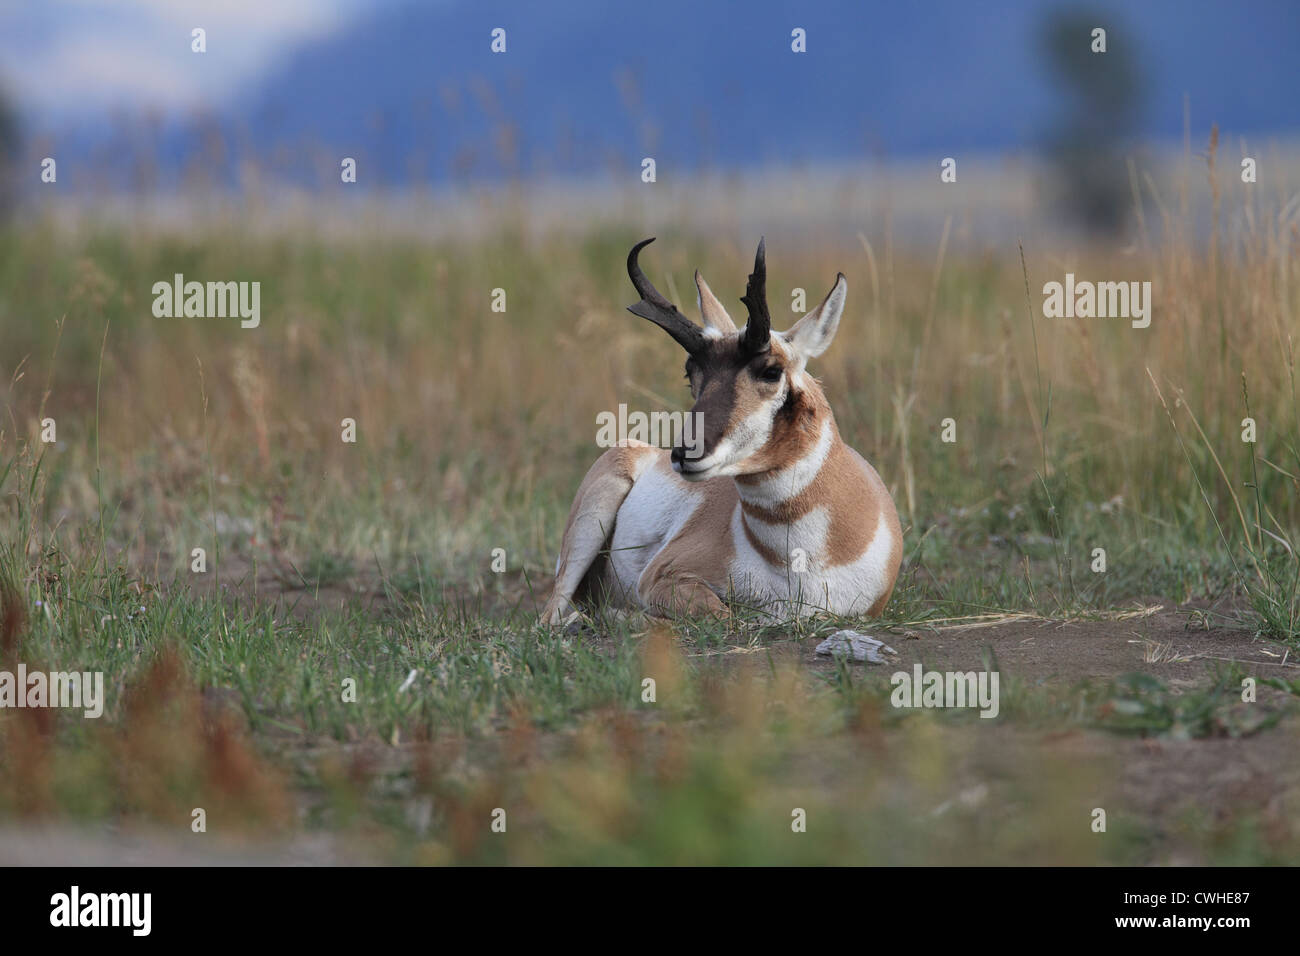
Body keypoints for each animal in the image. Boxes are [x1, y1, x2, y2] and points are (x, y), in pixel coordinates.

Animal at [542, 238, 901, 625]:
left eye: (772, 371)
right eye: (691, 371)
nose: (685, 453)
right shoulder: (659, 578)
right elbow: (724, 615)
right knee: (550, 618)